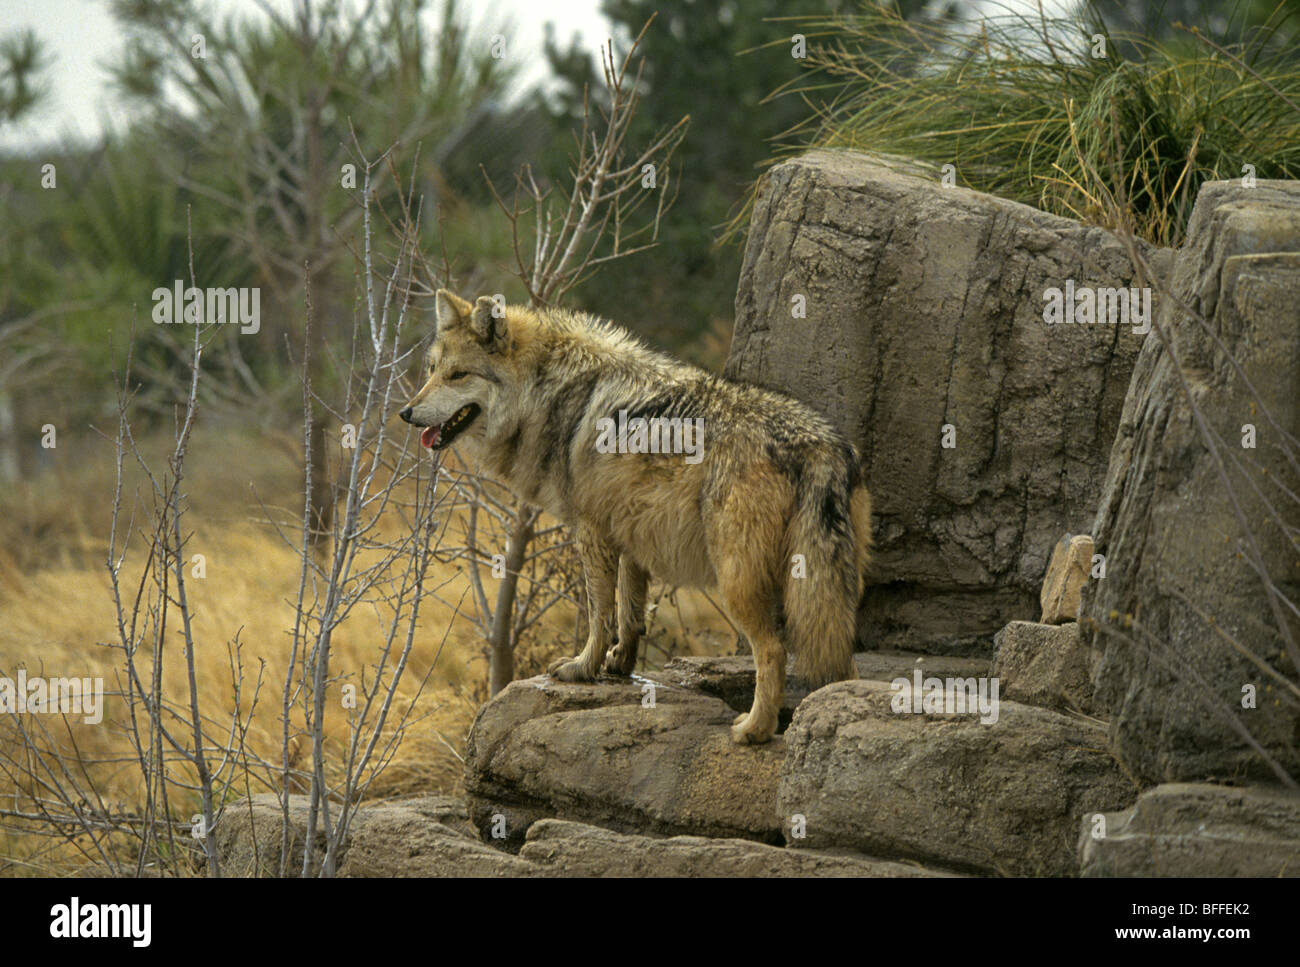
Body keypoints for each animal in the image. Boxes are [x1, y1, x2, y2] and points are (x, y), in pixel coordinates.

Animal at [399, 290, 872, 744]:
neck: (548, 394)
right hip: (825, 589)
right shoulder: (630, 536)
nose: (406, 412)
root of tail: (820, 446)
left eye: (458, 375)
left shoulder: (591, 531)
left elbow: (599, 613)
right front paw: (620, 666)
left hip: (739, 582)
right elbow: (631, 616)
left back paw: (754, 730)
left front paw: (581, 668)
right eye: (432, 370)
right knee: (841, 661)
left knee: (774, 652)